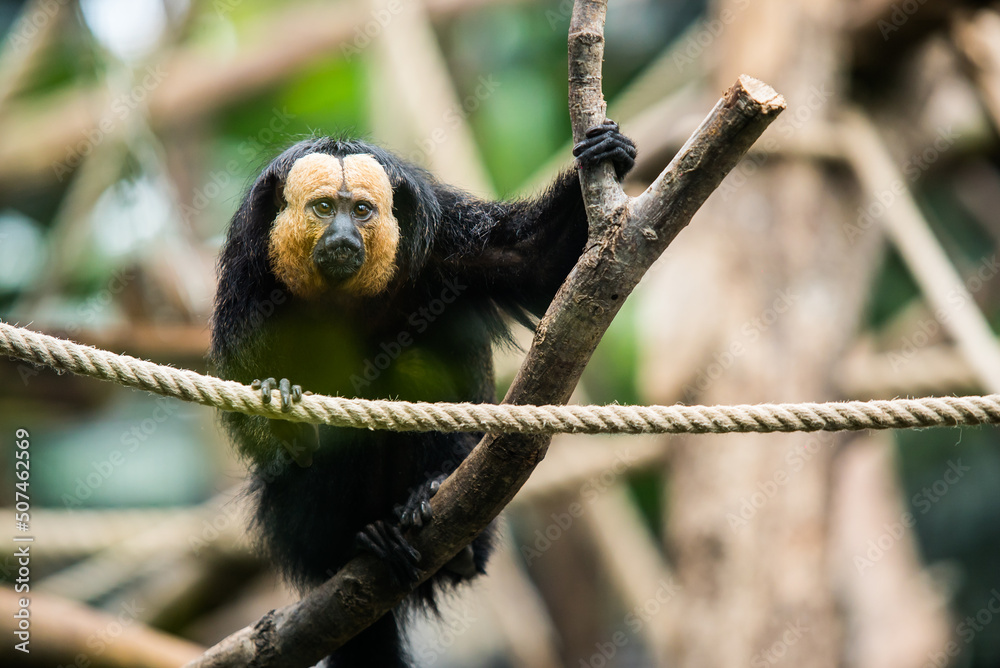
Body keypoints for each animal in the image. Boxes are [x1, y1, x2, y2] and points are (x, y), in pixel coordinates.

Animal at [210, 121, 635, 667]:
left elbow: (534, 261)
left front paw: (610, 151)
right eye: (324, 207)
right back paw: (362, 542)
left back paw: (437, 508)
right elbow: (242, 387)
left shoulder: (448, 240)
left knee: (417, 375)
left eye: (361, 210)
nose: (343, 236)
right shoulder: (248, 277)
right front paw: (283, 414)